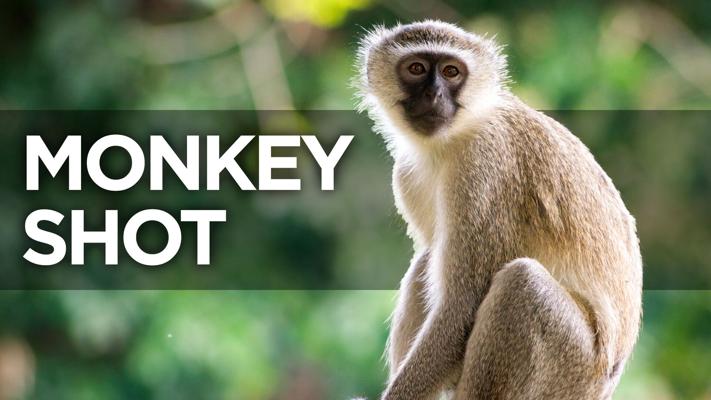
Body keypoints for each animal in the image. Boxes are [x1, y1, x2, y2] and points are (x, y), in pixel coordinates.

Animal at [352, 20, 642, 400]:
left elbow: (461, 309)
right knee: (428, 260)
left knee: (522, 284)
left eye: (451, 71)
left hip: (573, 369)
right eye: (416, 68)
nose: (434, 95)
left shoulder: (483, 165)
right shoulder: (405, 174)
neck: (452, 139)